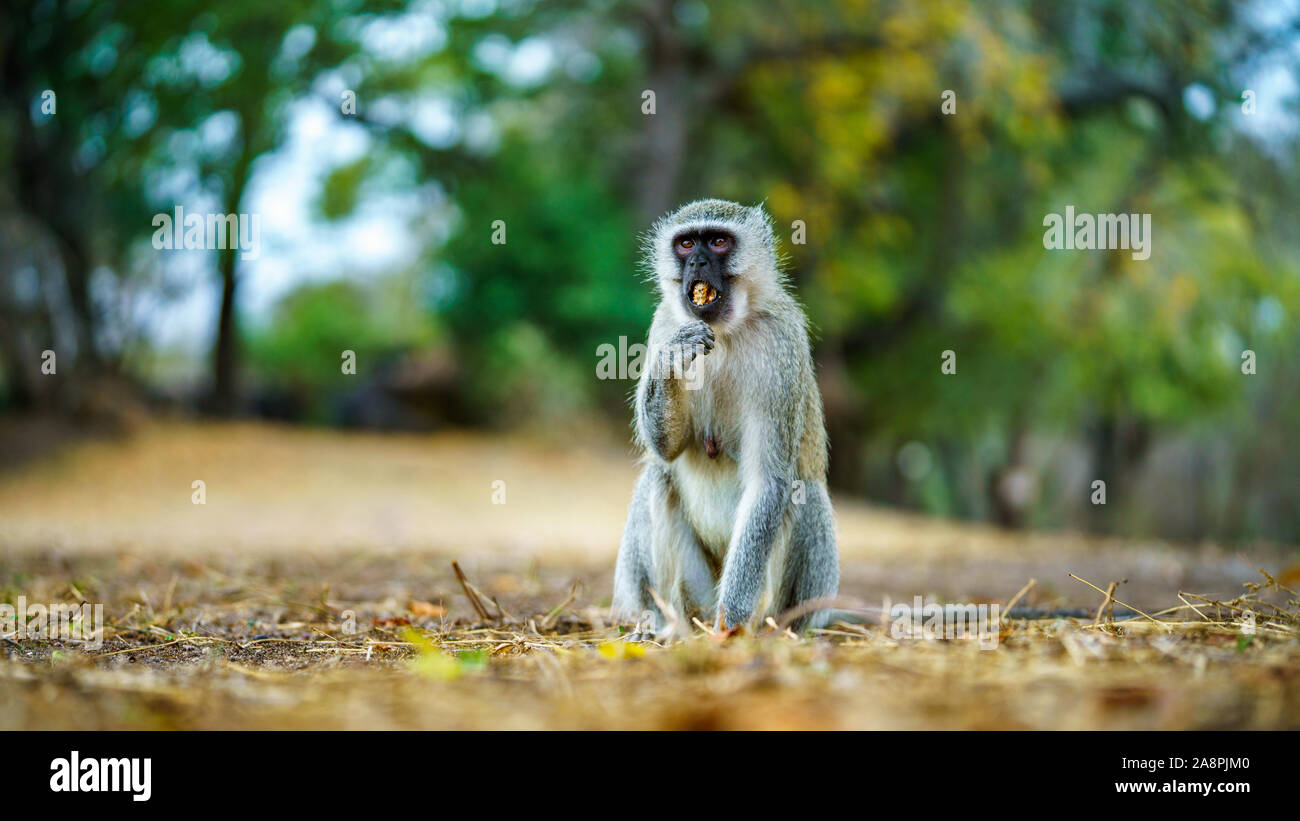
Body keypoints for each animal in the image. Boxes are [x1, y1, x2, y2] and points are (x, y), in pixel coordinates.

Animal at [612, 199, 838, 637]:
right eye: (686, 244)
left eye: (717, 241)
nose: (697, 261)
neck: (726, 332)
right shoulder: (664, 324)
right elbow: (668, 449)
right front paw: (671, 360)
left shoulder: (780, 344)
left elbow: (770, 483)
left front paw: (730, 622)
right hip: (694, 587)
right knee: (659, 478)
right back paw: (667, 626)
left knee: (802, 491)